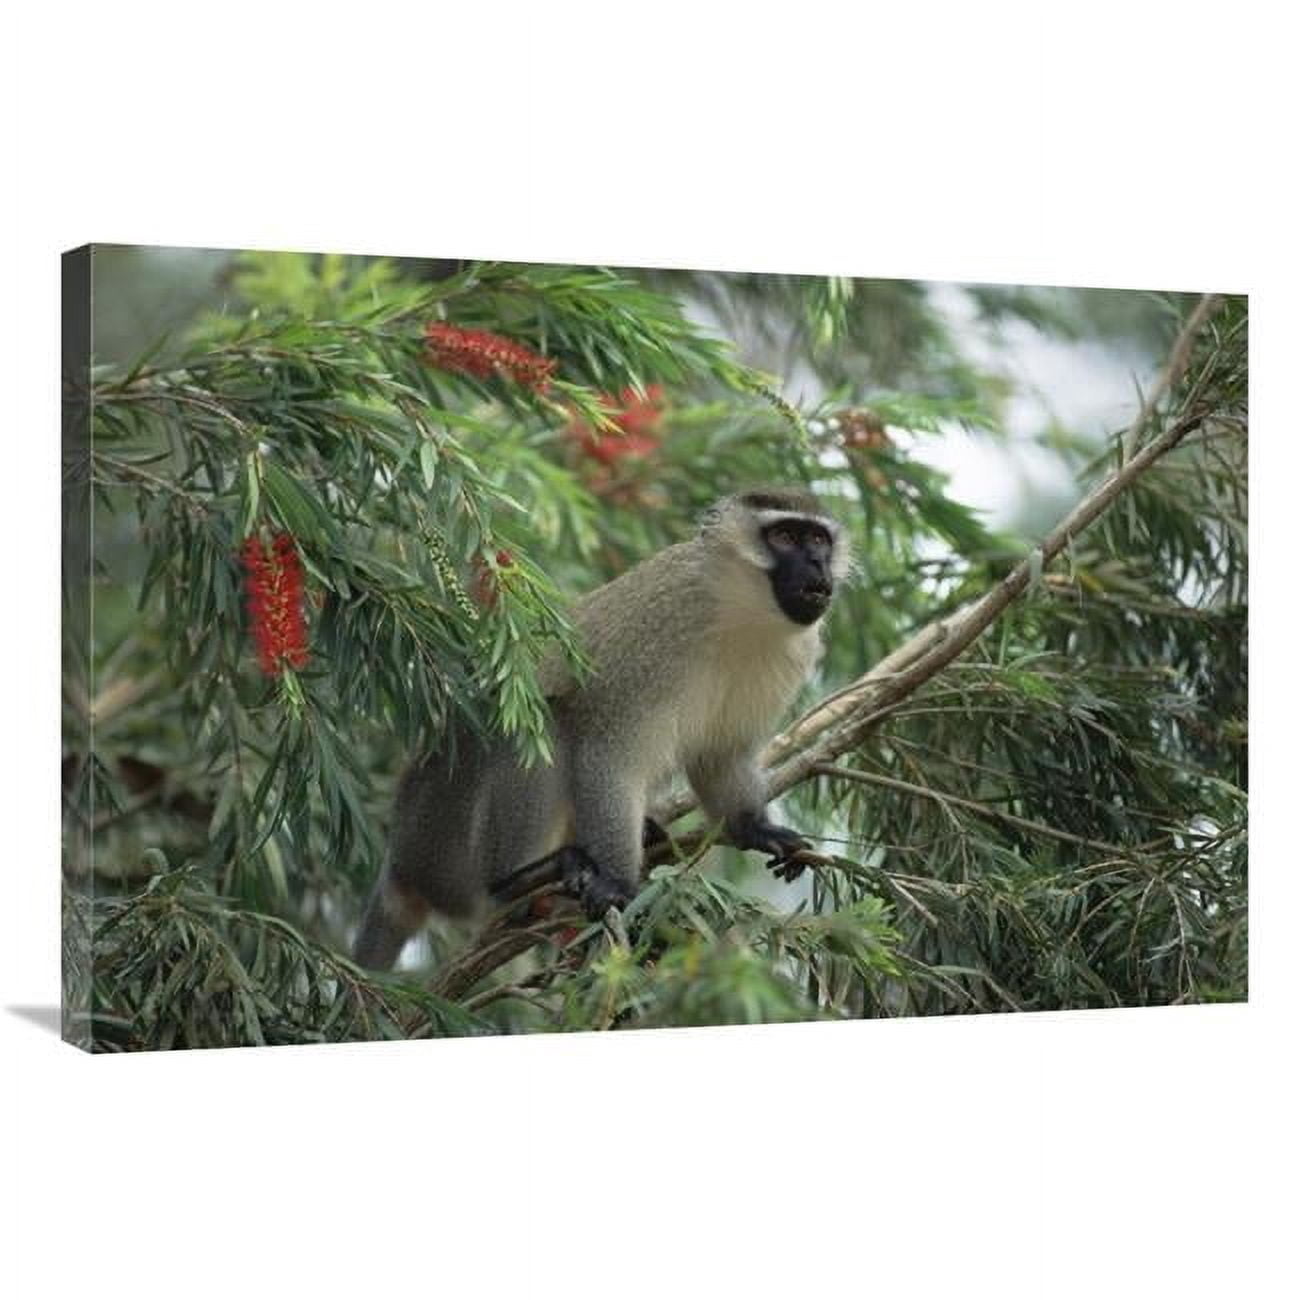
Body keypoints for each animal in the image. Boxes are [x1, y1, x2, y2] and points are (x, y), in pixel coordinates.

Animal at [353, 487, 848, 970]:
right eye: (784, 537)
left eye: (818, 540)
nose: (817, 565)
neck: (740, 614)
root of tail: (400, 863)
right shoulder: (656, 634)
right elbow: (608, 754)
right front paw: (617, 883)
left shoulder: (794, 654)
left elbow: (719, 756)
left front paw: (753, 827)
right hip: (444, 845)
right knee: (542, 724)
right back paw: (514, 883)